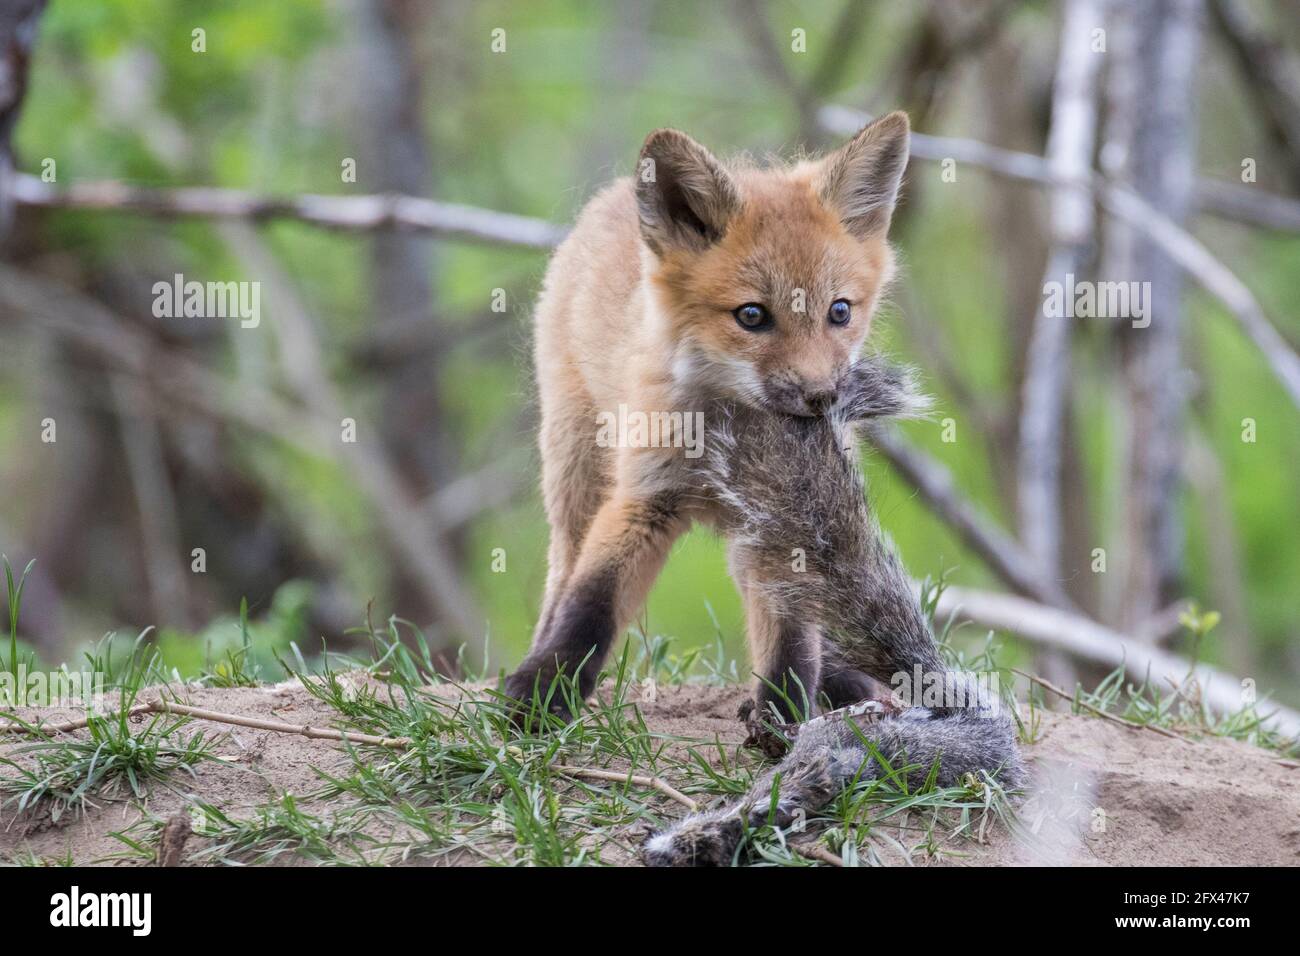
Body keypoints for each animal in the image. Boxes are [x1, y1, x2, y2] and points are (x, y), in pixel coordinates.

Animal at [505, 112, 913, 720]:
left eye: (839, 311)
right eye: (752, 316)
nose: (821, 396)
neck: (725, 436)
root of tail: (612, 195)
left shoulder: (786, 519)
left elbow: (792, 635)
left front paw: (782, 715)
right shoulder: (644, 496)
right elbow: (591, 604)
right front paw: (543, 690)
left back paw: (836, 681)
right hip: (574, 469)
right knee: (563, 572)